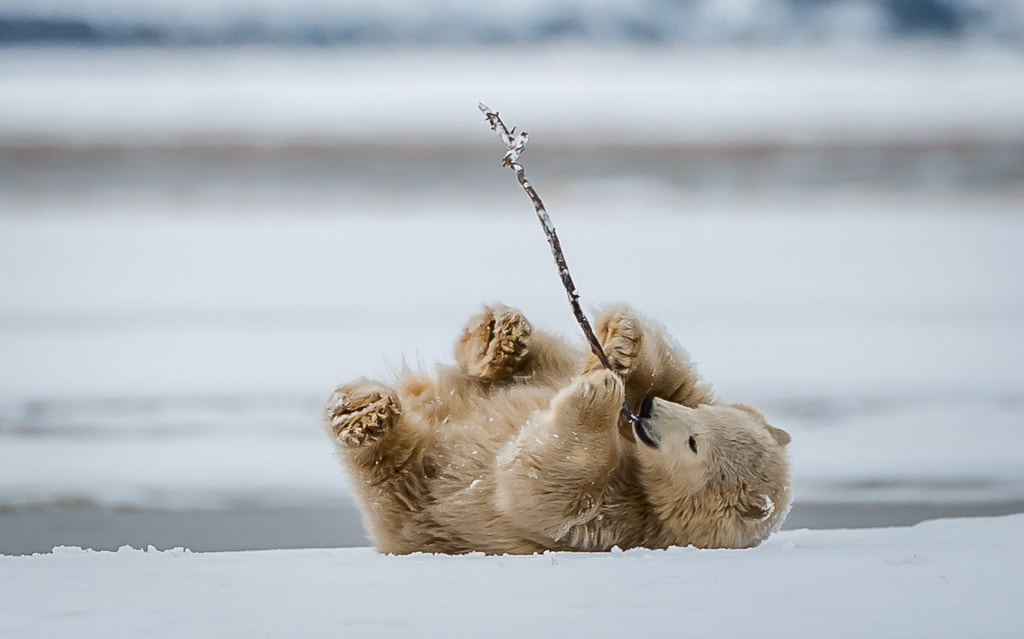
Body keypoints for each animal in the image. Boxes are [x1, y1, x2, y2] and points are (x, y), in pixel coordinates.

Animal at [322, 304, 791, 554]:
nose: (646, 409)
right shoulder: (687, 391)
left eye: (695, 443)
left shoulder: (623, 524)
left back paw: (366, 418)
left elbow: (537, 490)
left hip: (414, 505)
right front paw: (621, 344)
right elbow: (669, 370)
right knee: (536, 358)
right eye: (703, 415)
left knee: (391, 467)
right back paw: (497, 340)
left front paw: (596, 395)